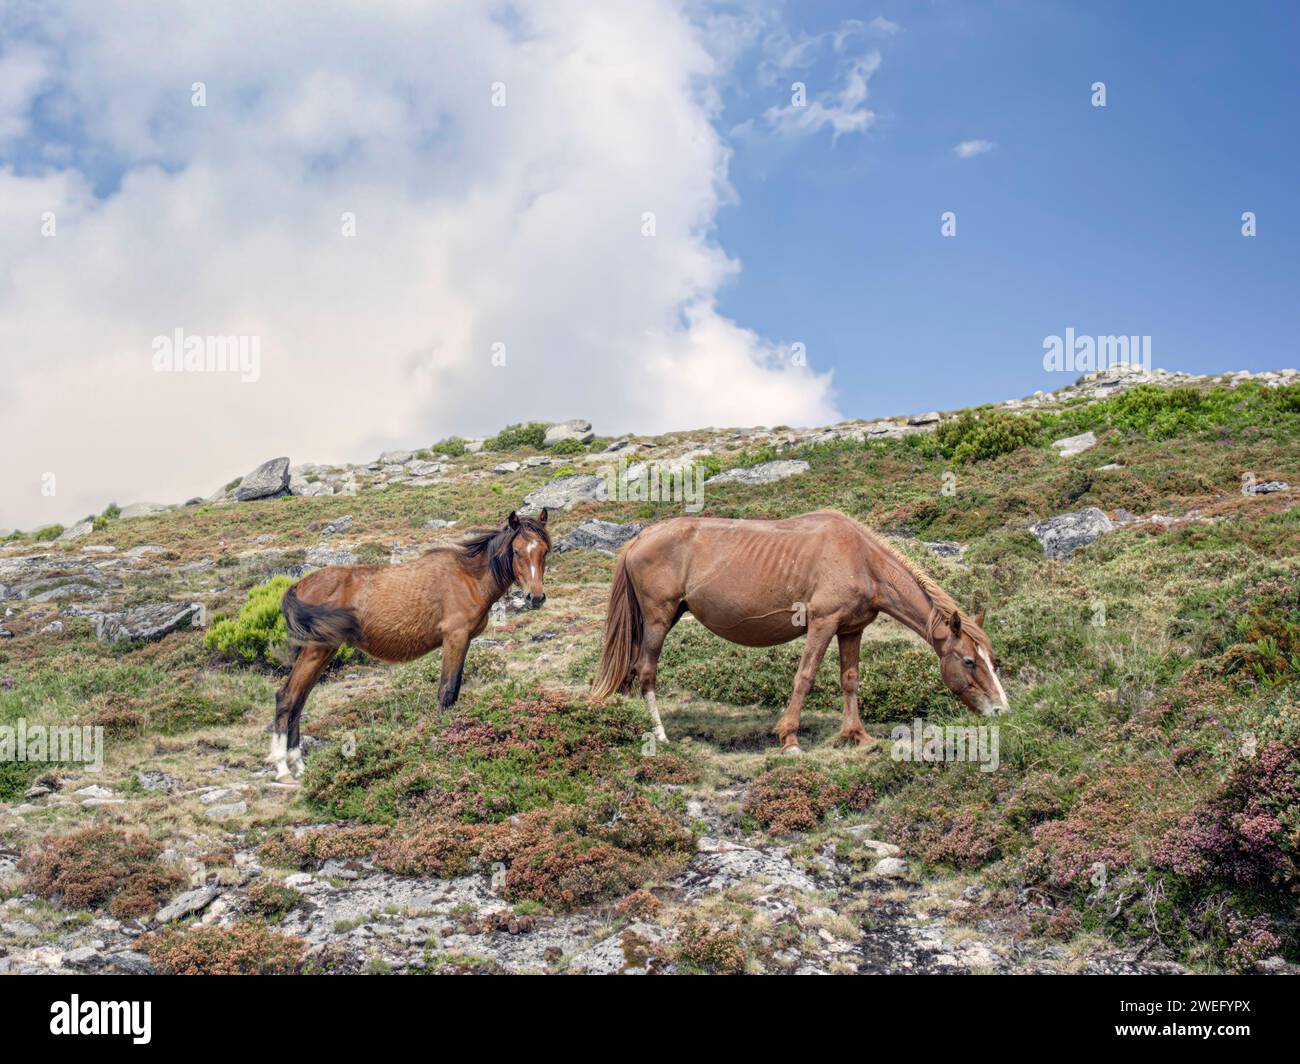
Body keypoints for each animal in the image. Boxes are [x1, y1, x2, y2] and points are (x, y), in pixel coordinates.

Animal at [267, 509, 551, 782]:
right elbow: (447, 691)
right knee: (287, 697)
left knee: (299, 700)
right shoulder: (455, 638)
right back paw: (282, 769)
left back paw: (298, 767)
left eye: (544, 551)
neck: (469, 576)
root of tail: (298, 585)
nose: (535, 597)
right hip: (316, 649)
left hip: (325, 650)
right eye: (517, 551)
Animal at [592, 509, 1008, 753]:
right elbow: (804, 677)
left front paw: (857, 736)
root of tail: (639, 539)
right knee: (645, 672)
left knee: (631, 672)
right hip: (658, 620)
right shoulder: (823, 623)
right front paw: (789, 738)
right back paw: (661, 736)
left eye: (993, 660)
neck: (860, 559)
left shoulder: (851, 629)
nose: (1001, 710)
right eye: (969, 661)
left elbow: (850, 679)